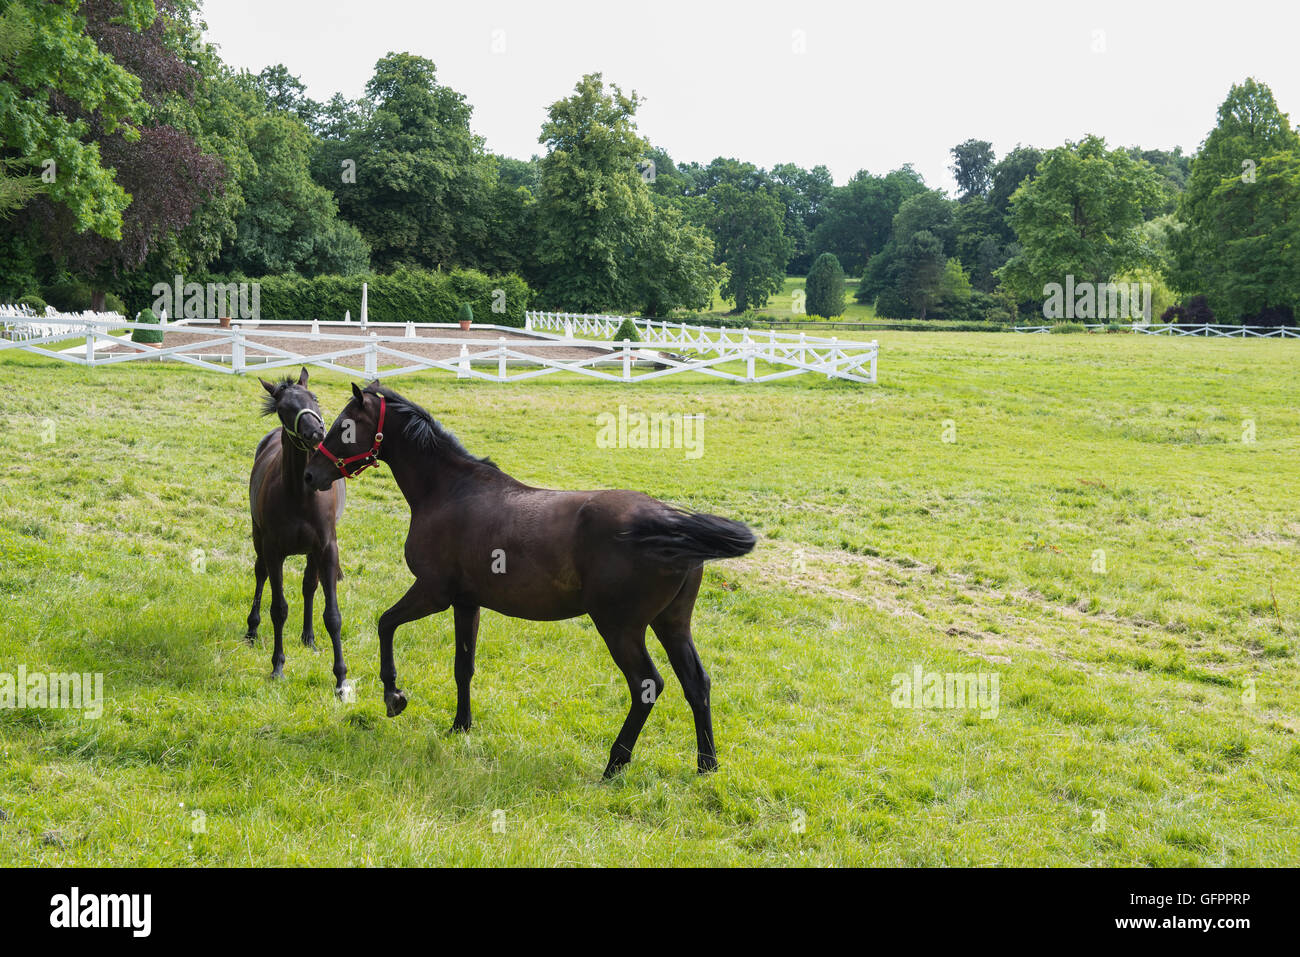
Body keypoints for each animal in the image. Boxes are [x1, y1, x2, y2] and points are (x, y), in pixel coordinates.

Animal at [247, 367, 351, 698]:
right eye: (284, 408)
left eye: (314, 397)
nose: (316, 433)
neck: (300, 493)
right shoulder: (273, 550)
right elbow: (278, 608)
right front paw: (278, 666)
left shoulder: (327, 548)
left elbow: (332, 614)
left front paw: (341, 680)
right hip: (258, 537)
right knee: (260, 574)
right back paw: (251, 629)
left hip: (312, 552)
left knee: (309, 585)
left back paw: (309, 638)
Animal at [303, 381, 756, 777]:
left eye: (344, 426)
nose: (310, 475)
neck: (450, 491)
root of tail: (671, 521)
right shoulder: (466, 602)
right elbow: (463, 665)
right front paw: (460, 725)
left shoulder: (433, 592)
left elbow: (385, 624)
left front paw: (394, 696)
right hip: (671, 624)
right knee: (696, 683)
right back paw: (706, 765)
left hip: (620, 628)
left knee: (647, 684)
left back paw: (614, 764)